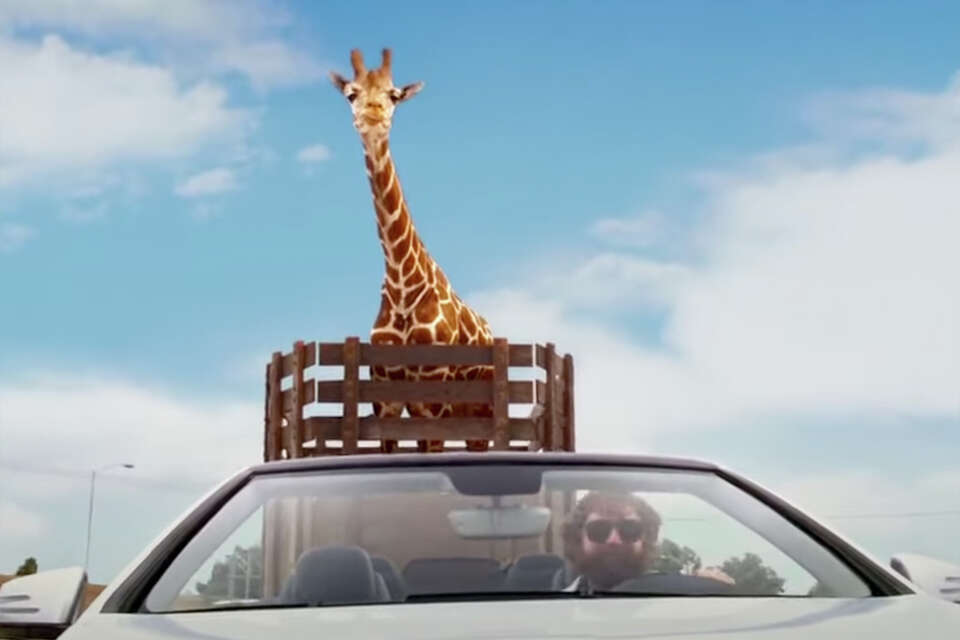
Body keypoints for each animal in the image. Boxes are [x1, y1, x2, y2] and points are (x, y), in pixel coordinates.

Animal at [330, 48, 495, 454]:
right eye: (352, 94)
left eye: (393, 95)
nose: (373, 114)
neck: (403, 284)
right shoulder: (386, 396)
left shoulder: (433, 393)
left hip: (476, 411)